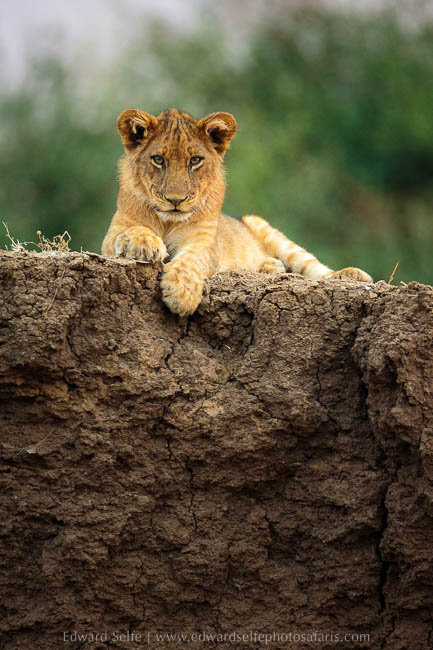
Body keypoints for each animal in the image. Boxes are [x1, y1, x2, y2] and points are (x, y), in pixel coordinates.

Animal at [101, 108, 372, 316]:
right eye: (158, 160)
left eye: (195, 161)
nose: (175, 200)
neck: (168, 221)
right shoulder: (113, 232)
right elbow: (127, 232)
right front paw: (143, 244)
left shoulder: (205, 242)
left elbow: (192, 260)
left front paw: (181, 295)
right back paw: (270, 266)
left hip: (268, 230)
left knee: (316, 269)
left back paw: (351, 275)